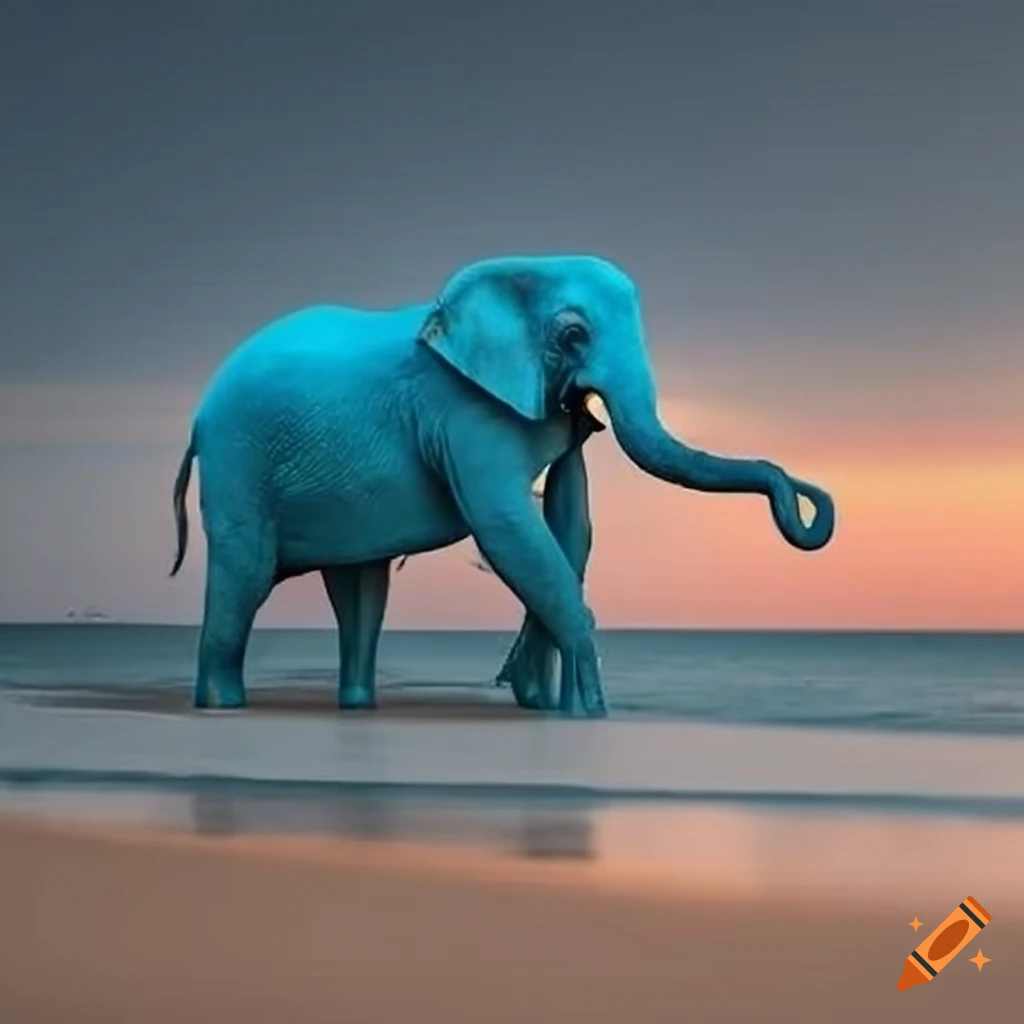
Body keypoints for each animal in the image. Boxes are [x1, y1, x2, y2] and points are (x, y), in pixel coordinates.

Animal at [169, 254, 835, 717]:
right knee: (248, 572)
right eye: (573, 336)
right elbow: (508, 525)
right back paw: (224, 705)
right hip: (238, 463)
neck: (520, 269)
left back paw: (357, 707)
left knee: (361, 586)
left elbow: (571, 522)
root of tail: (197, 418)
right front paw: (589, 712)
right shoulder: (463, 409)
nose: (809, 497)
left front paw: (543, 701)